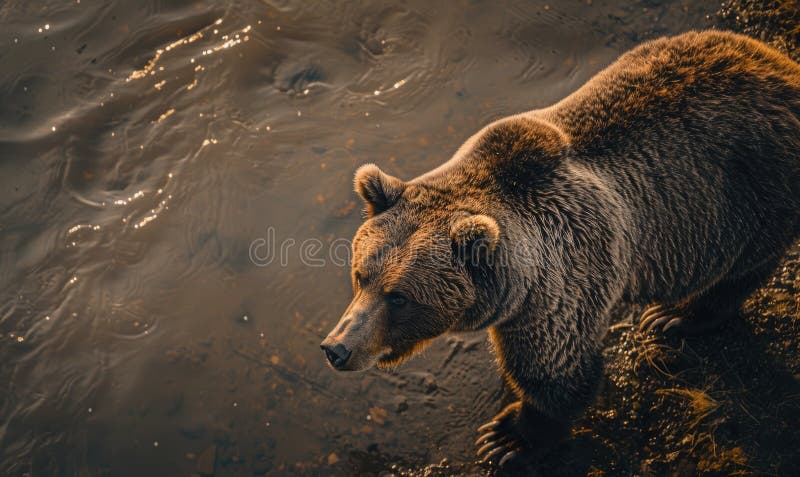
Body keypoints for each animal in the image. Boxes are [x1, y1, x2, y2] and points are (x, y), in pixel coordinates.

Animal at [320, 30, 800, 467]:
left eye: (400, 297)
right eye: (361, 276)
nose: (337, 348)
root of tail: (781, 65)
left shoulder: (563, 279)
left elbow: (555, 371)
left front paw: (510, 437)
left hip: (748, 194)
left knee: (739, 269)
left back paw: (674, 315)